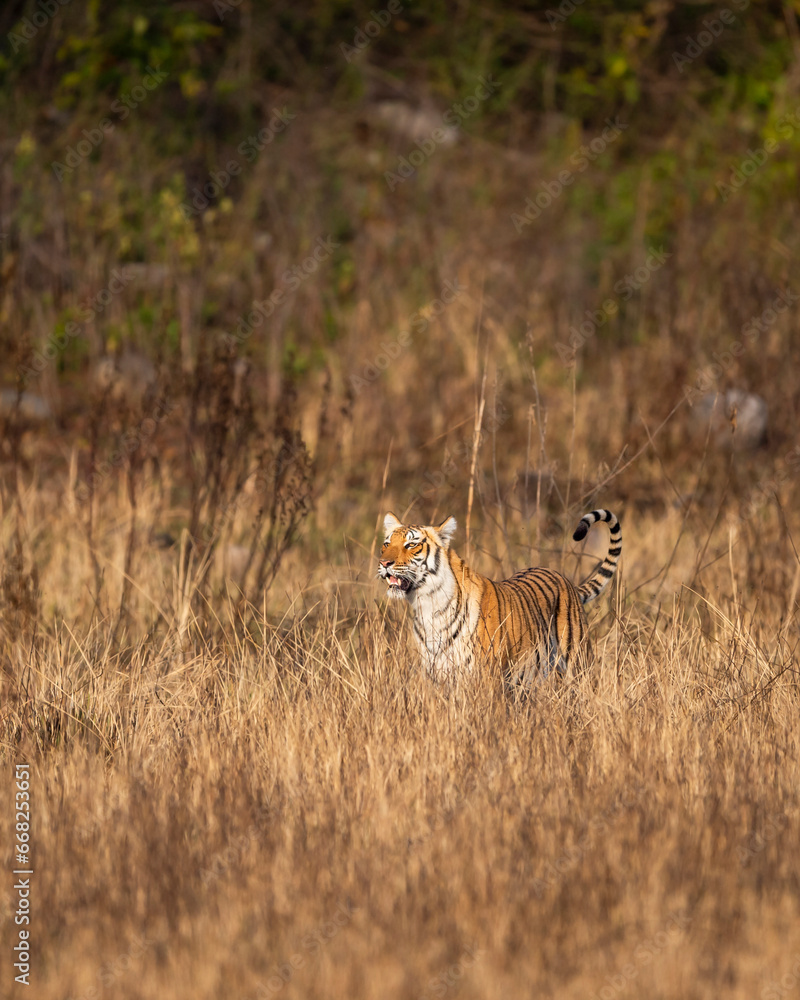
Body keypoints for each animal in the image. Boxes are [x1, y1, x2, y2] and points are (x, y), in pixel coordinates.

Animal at [378, 508, 621, 683]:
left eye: (412, 545)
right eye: (387, 544)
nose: (384, 563)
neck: (427, 604)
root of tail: (567, 581)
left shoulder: (485, 676)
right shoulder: (437, 674)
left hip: (576, 665)